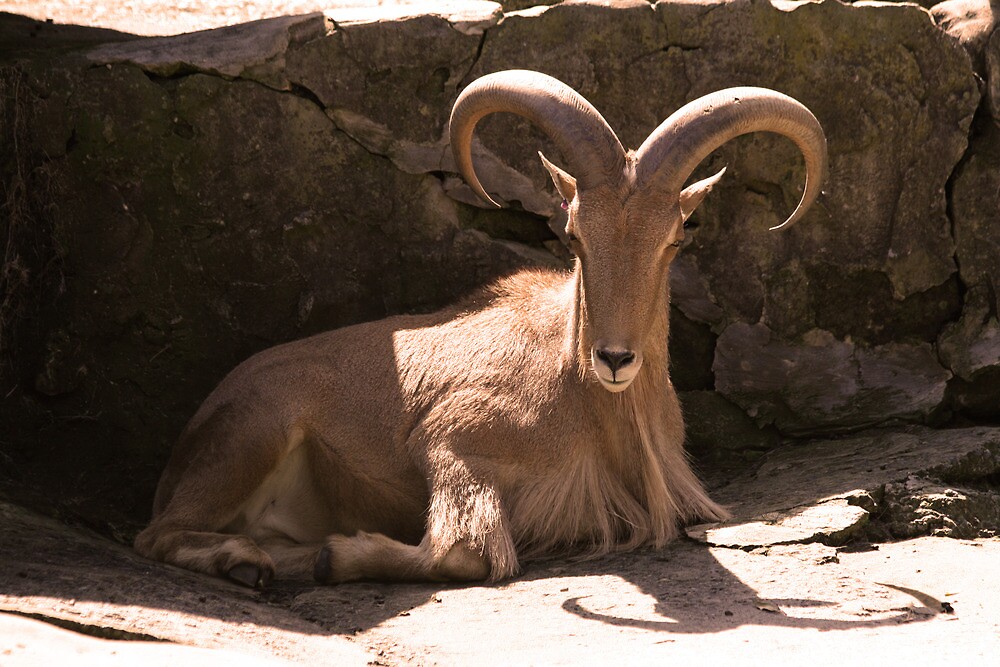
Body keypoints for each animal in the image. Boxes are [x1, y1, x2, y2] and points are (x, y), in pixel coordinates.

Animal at [135, 70, 827, 587]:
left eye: (675, 238)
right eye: (573, 232)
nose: (613, 358)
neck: (583, 401)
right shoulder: (450, 445)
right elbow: (465, 552)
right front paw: (341, 553)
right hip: (257, 430)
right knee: (157, 534)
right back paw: (249, 561)